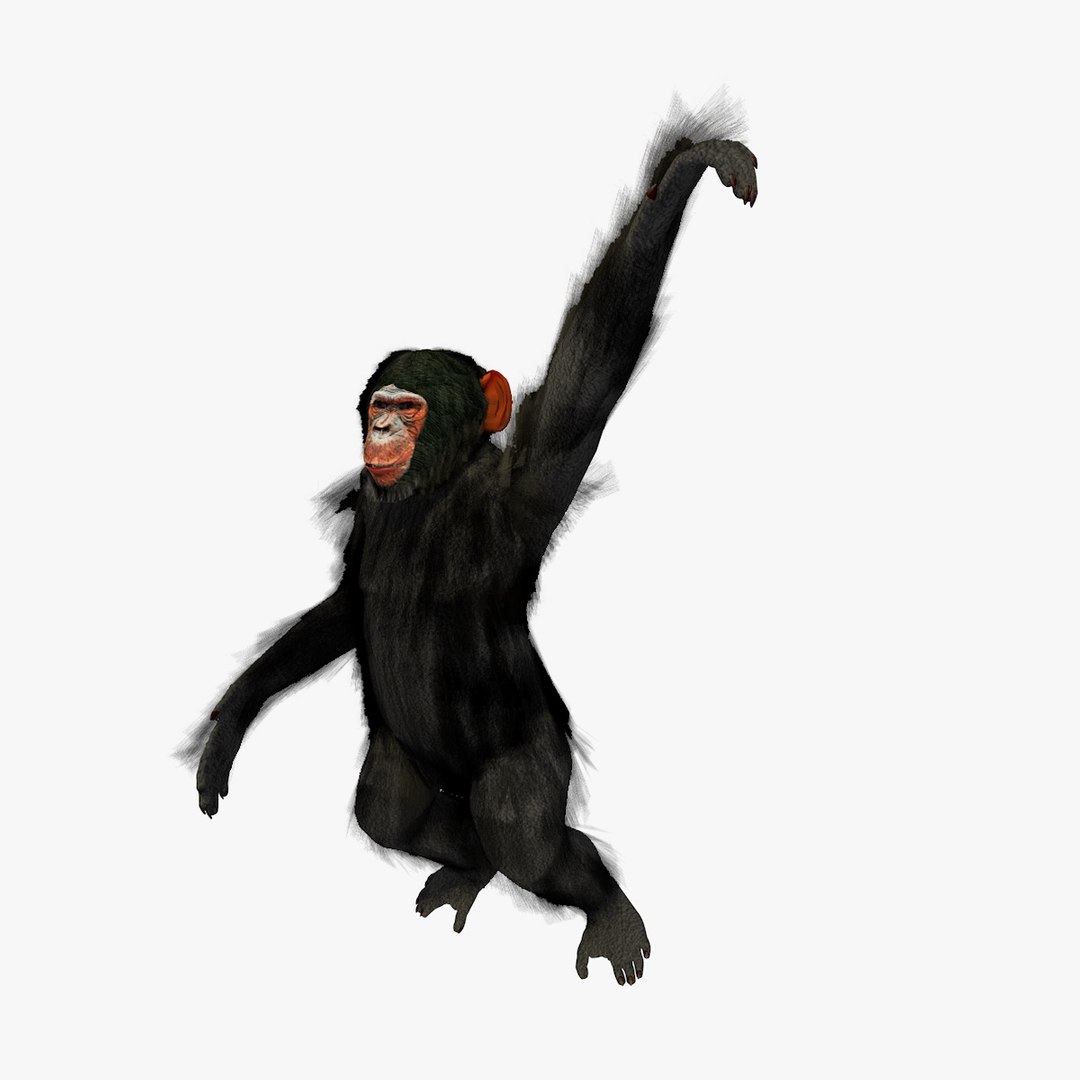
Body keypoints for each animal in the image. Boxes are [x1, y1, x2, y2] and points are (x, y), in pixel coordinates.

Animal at [186, 101, 757, 985]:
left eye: (411, 406)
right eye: (380, 403)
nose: (382, 428)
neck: (437, 490)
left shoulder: (529, 479)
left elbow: (594, 359)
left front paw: (693, 161)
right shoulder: (372, 505)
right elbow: (346, 605)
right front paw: (227, 728)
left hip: (533, 749)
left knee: (518, 823)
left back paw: (603, 902)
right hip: (408, 759)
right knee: (391, 808)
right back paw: (468, 865)